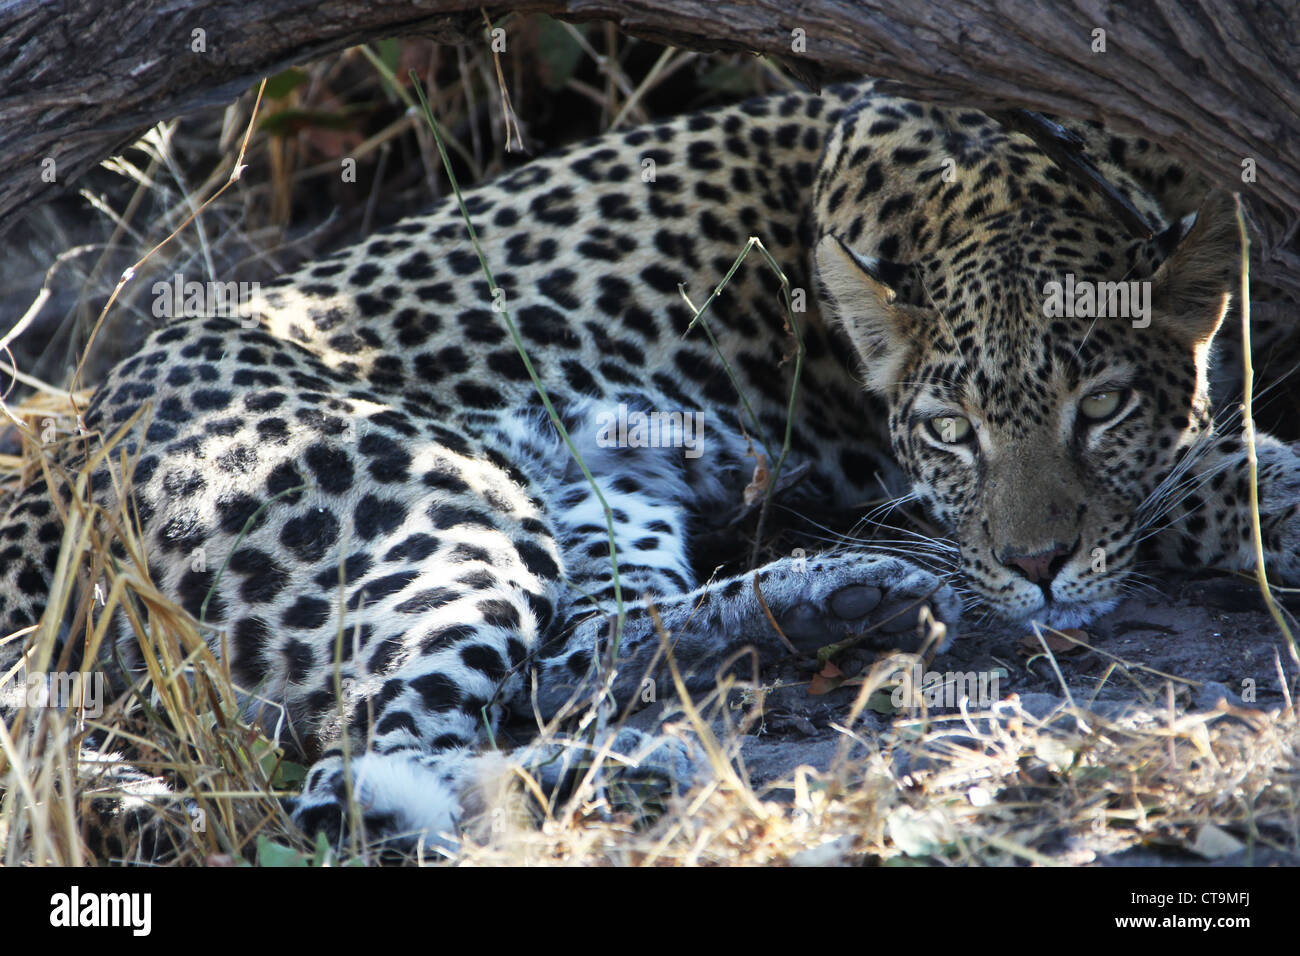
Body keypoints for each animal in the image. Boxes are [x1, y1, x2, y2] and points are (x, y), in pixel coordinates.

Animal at [3, 77, 1298, 852]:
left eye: (1103, 404)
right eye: (950, 430)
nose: (1036, 568)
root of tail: (61, 440)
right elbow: (1196, 478)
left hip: (597, 489)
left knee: (574, 653)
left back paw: (826, 604)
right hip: (442, 497)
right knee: (363, 760)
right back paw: (646, 771)